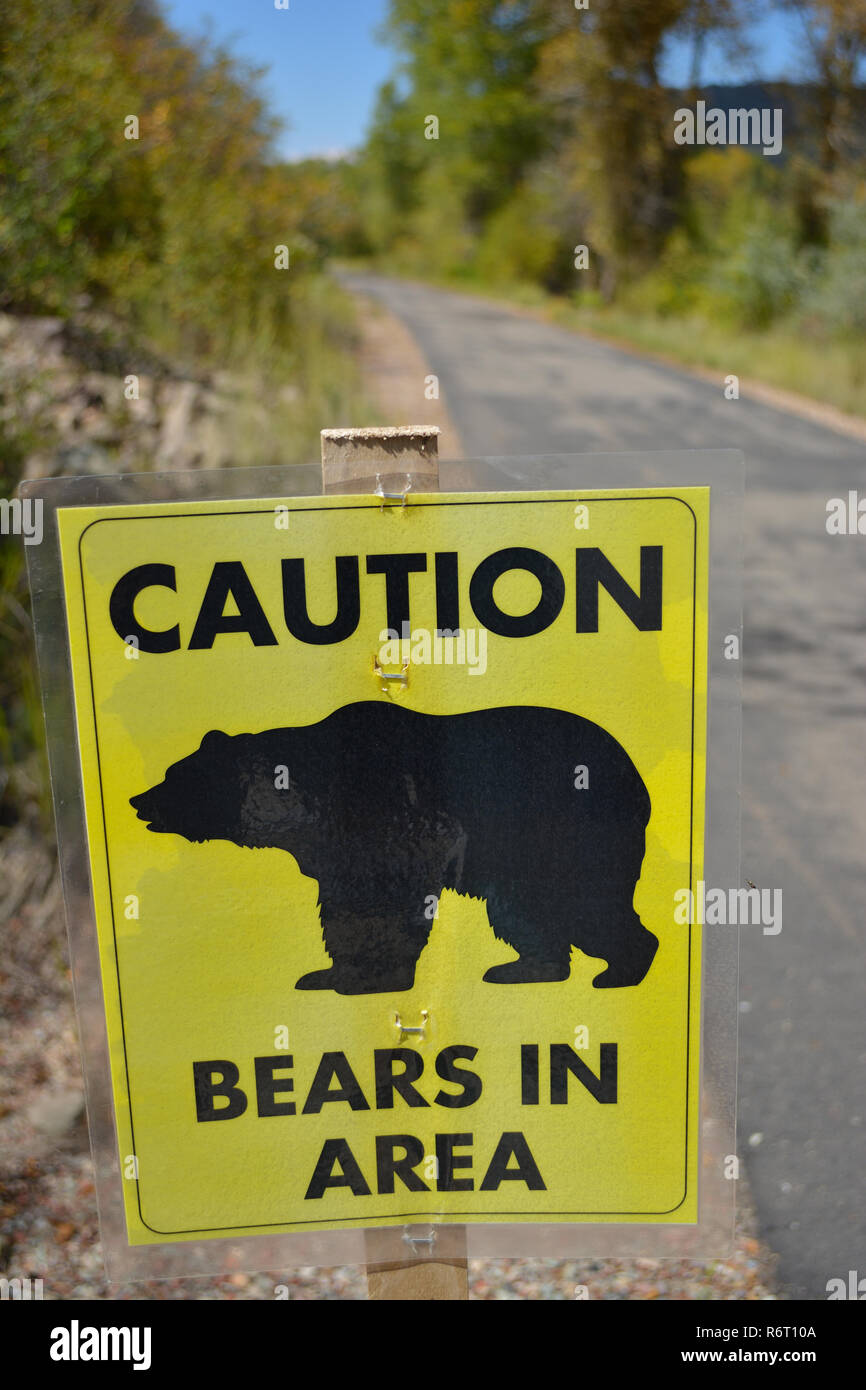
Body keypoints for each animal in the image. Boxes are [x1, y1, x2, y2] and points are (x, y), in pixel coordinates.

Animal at [129, 701, 657, 996]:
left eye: (176, 776)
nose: (137, 801)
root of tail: (635, 775)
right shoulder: (334, 851)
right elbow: (343, 904)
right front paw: (327, 973)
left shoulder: (390, 816)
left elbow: (386, 895)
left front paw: (370, 977)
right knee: (525, 910)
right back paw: (523, 967)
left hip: (566, 830)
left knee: (585, 901)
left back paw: (621, 969)